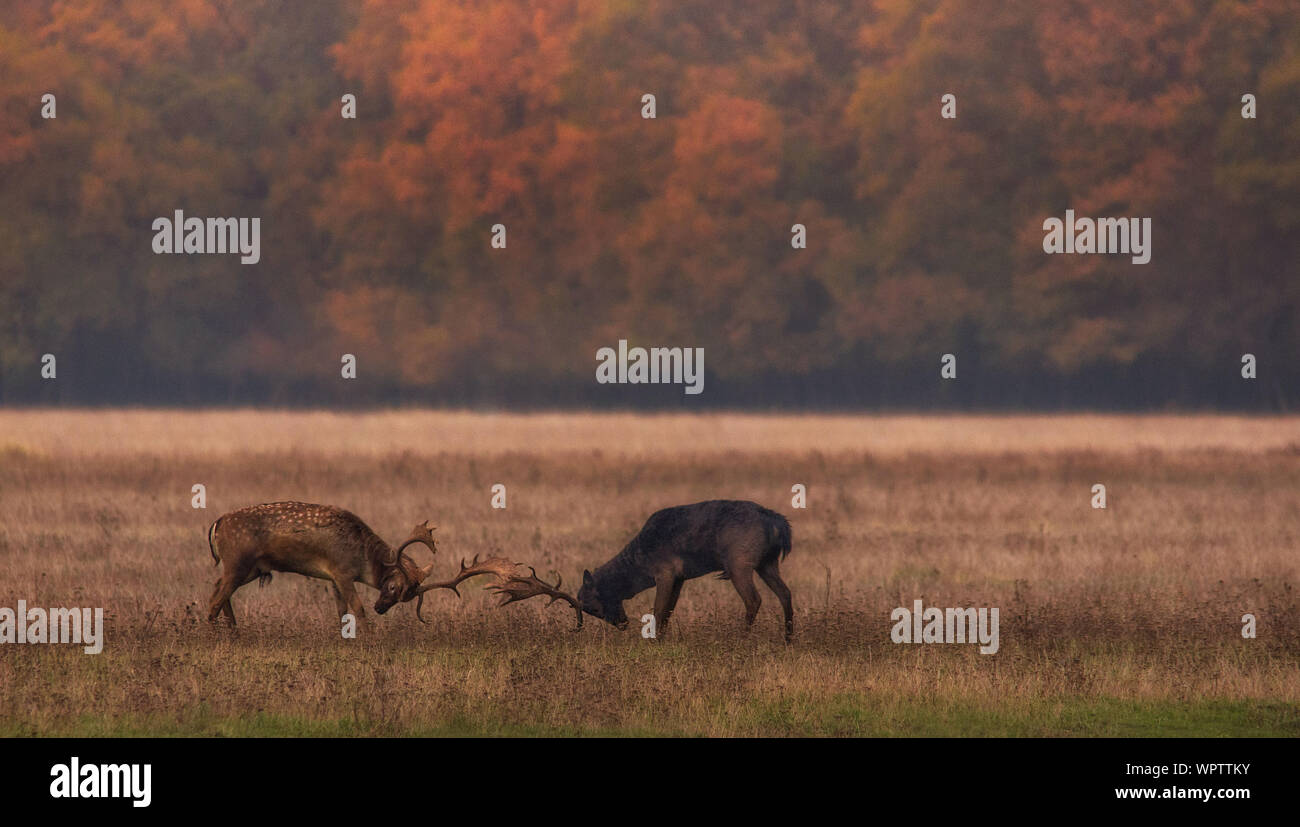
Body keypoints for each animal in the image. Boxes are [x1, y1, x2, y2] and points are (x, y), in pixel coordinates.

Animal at [204, 501, 441, 625]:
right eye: (393, 586)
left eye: (407, 597)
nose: (380, 608)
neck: (363, 558)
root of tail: (217, 523)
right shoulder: (342, 571)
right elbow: (358, 608)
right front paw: (369, 639)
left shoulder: (333, 577)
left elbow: (342, 611)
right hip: (238, 562)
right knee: (215, 600)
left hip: (252, 568)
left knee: (217, 587)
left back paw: (234, 630)